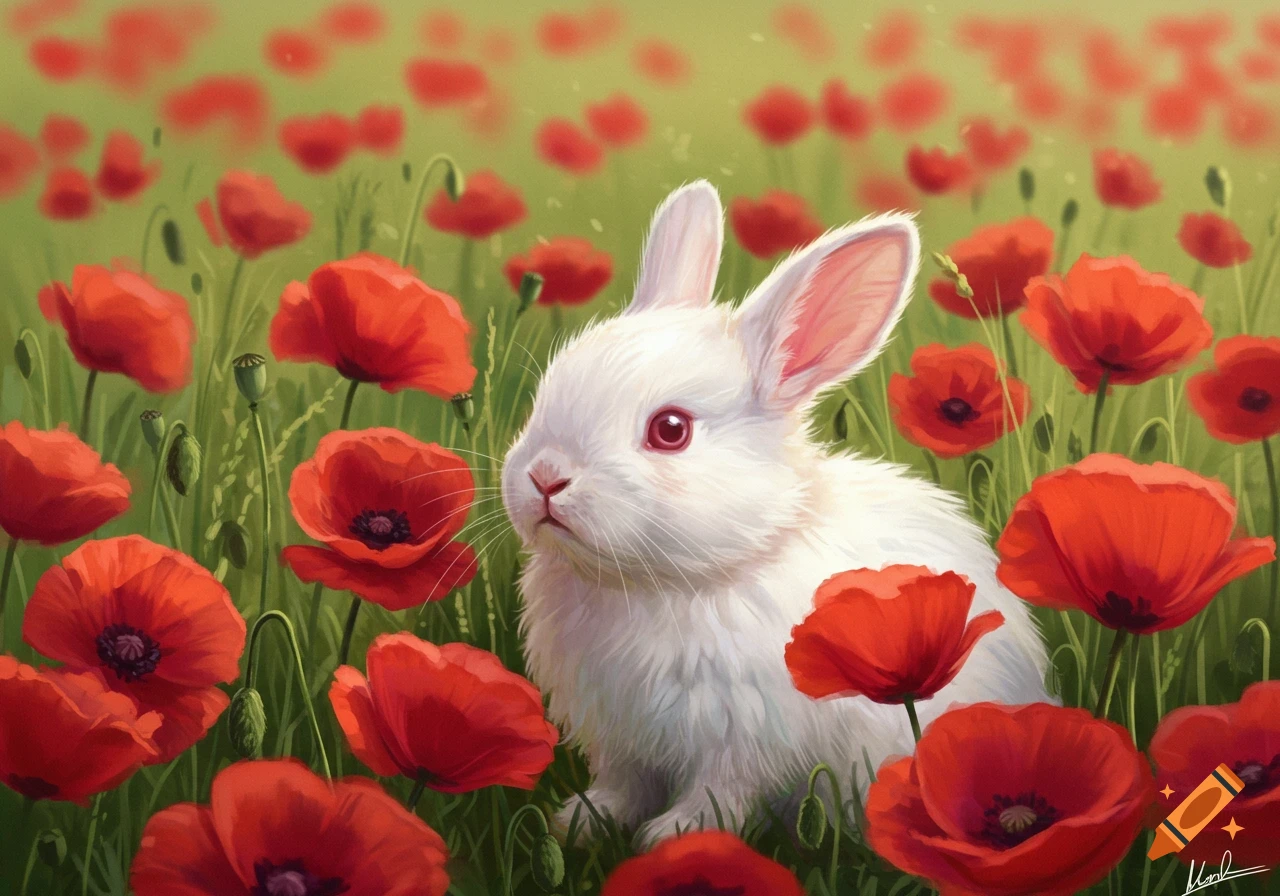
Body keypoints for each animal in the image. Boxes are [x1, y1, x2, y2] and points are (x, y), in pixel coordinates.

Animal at [500, 180, 1050, 851]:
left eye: (670, 430)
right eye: (548, 390)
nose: (545, 477)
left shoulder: (746, 735)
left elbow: (722, 791)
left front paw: (675, 837)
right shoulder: (618, 733)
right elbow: (623, 783)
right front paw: (583, 822)